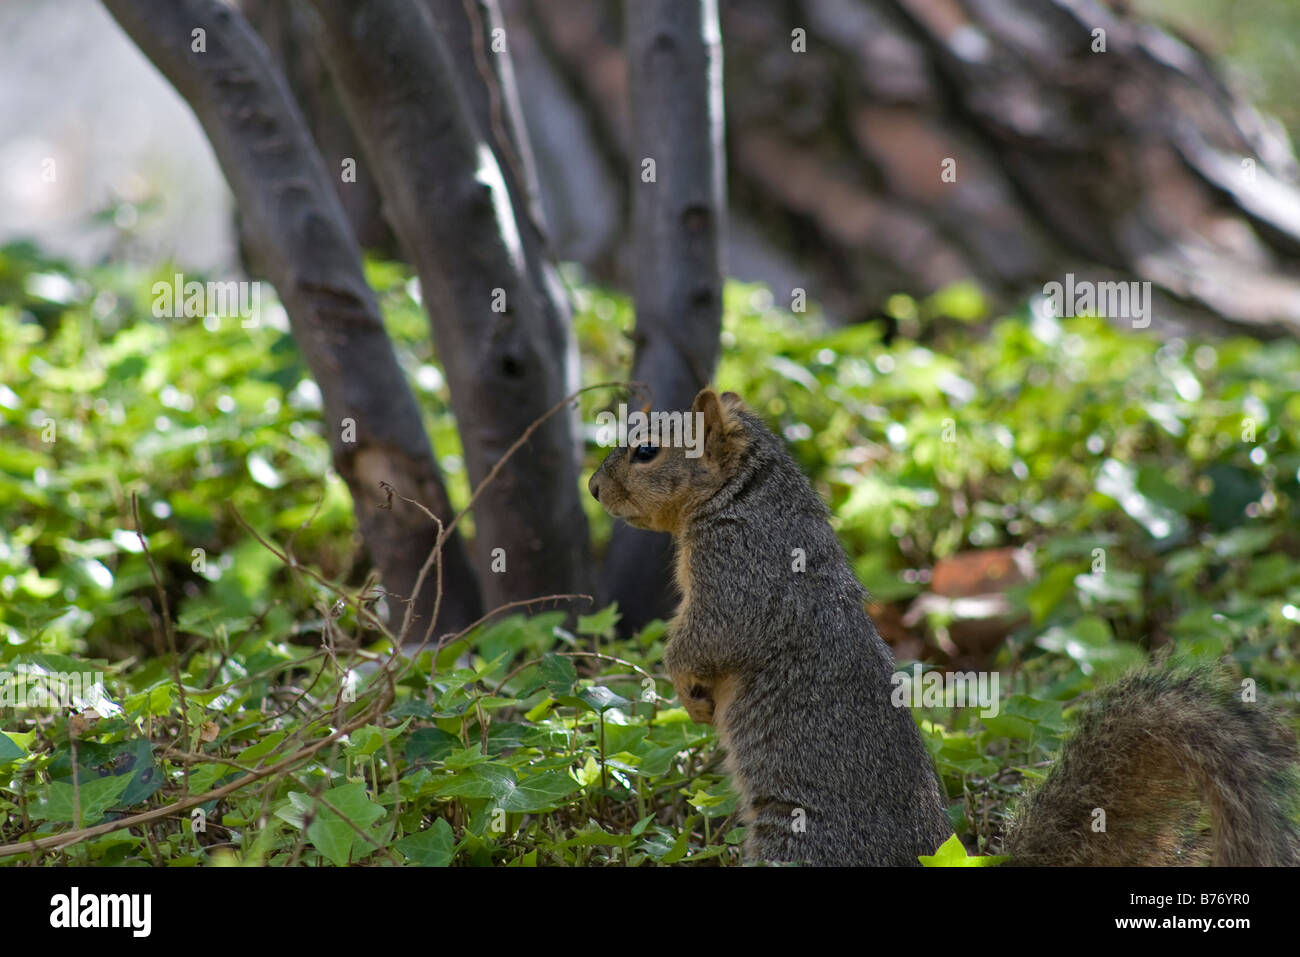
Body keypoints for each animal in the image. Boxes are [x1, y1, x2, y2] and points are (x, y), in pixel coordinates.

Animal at [588, 387, 1300, 866]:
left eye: (647, 451)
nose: (593, 488)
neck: (744, 495)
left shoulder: (739, 574)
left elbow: (707, 638)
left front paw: (687, 690)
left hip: (799, 842)